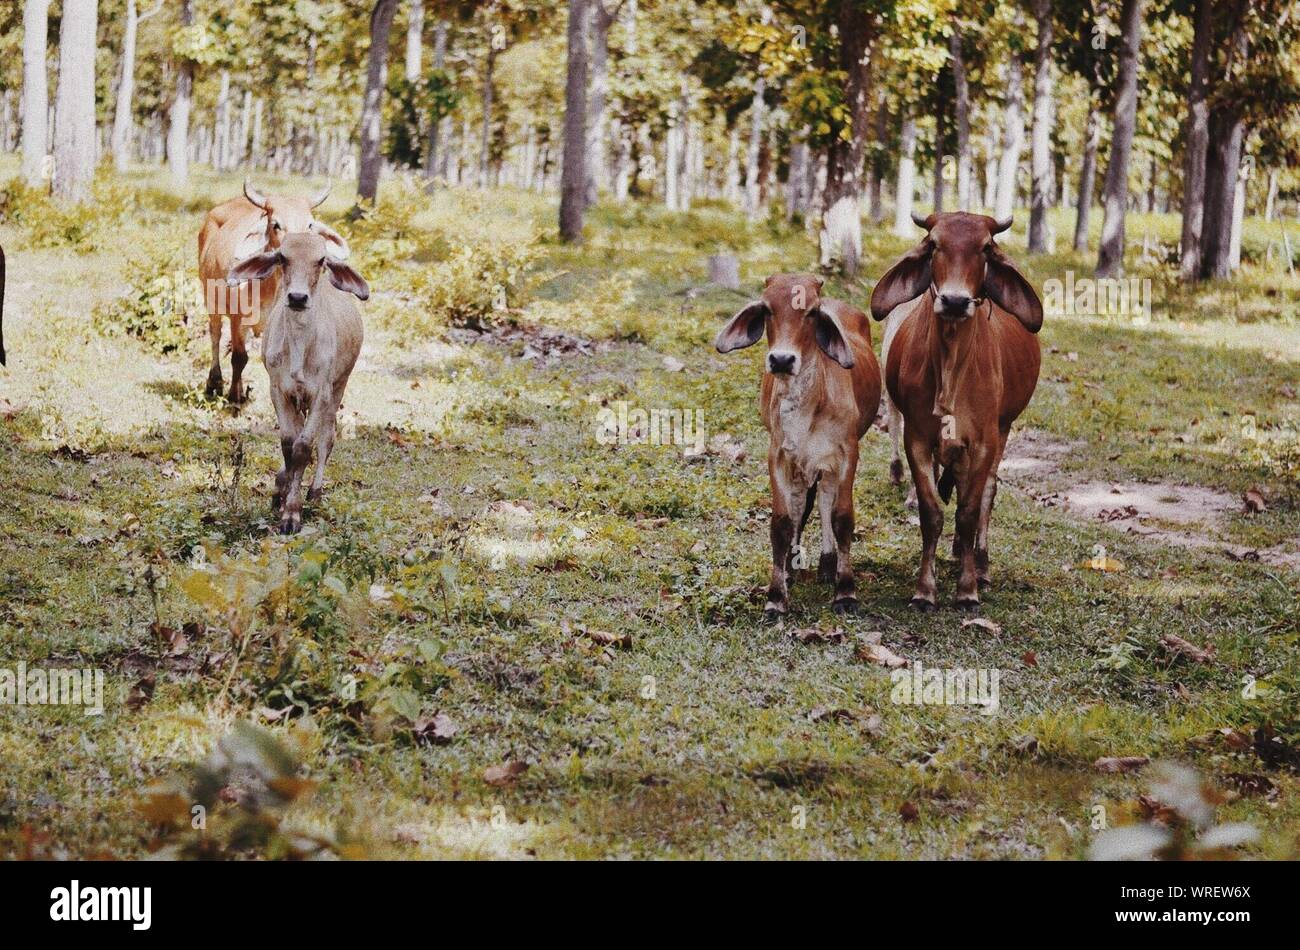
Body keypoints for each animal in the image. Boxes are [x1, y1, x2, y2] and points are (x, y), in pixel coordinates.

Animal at [197, 179, 347, 403]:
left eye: (310, 225)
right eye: (276, 225)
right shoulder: (238, 318)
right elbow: (239, 357)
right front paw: (234, 396)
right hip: (211, 300)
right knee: (215, 335)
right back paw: (214, 382)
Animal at [226, 231, 369, 535]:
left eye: (321, 260)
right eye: (283, 257)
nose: (298, 297)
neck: (300, 345)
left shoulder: (321, 395)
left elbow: (304, 448)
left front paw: (292, 513)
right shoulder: (278, 392)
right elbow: (288, 445)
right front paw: (281, 496)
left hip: (339, 388)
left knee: (326, 440)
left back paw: (314, 492)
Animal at [716, 273, 883, 620]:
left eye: (812, 312)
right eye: (767, 308)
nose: (781, 359)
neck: (807, 404)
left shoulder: (847, 454)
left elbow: (842, 517)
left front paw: (845, 592)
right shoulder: (779, 457)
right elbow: (782, 521)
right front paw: (776, 597)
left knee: (824, 500)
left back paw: (828, 565)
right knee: (803, 504)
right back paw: (794, 568)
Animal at [869, 212, 1043, 612]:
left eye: (985, 248)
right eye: (934, 243)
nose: (953, 301)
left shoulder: (983, 441)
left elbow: (967, 511)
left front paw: (967, 589)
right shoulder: (917, 438)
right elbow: (932, 511)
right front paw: (924, 589)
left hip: (1003, 430)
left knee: (986, 494)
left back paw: (979, 564)